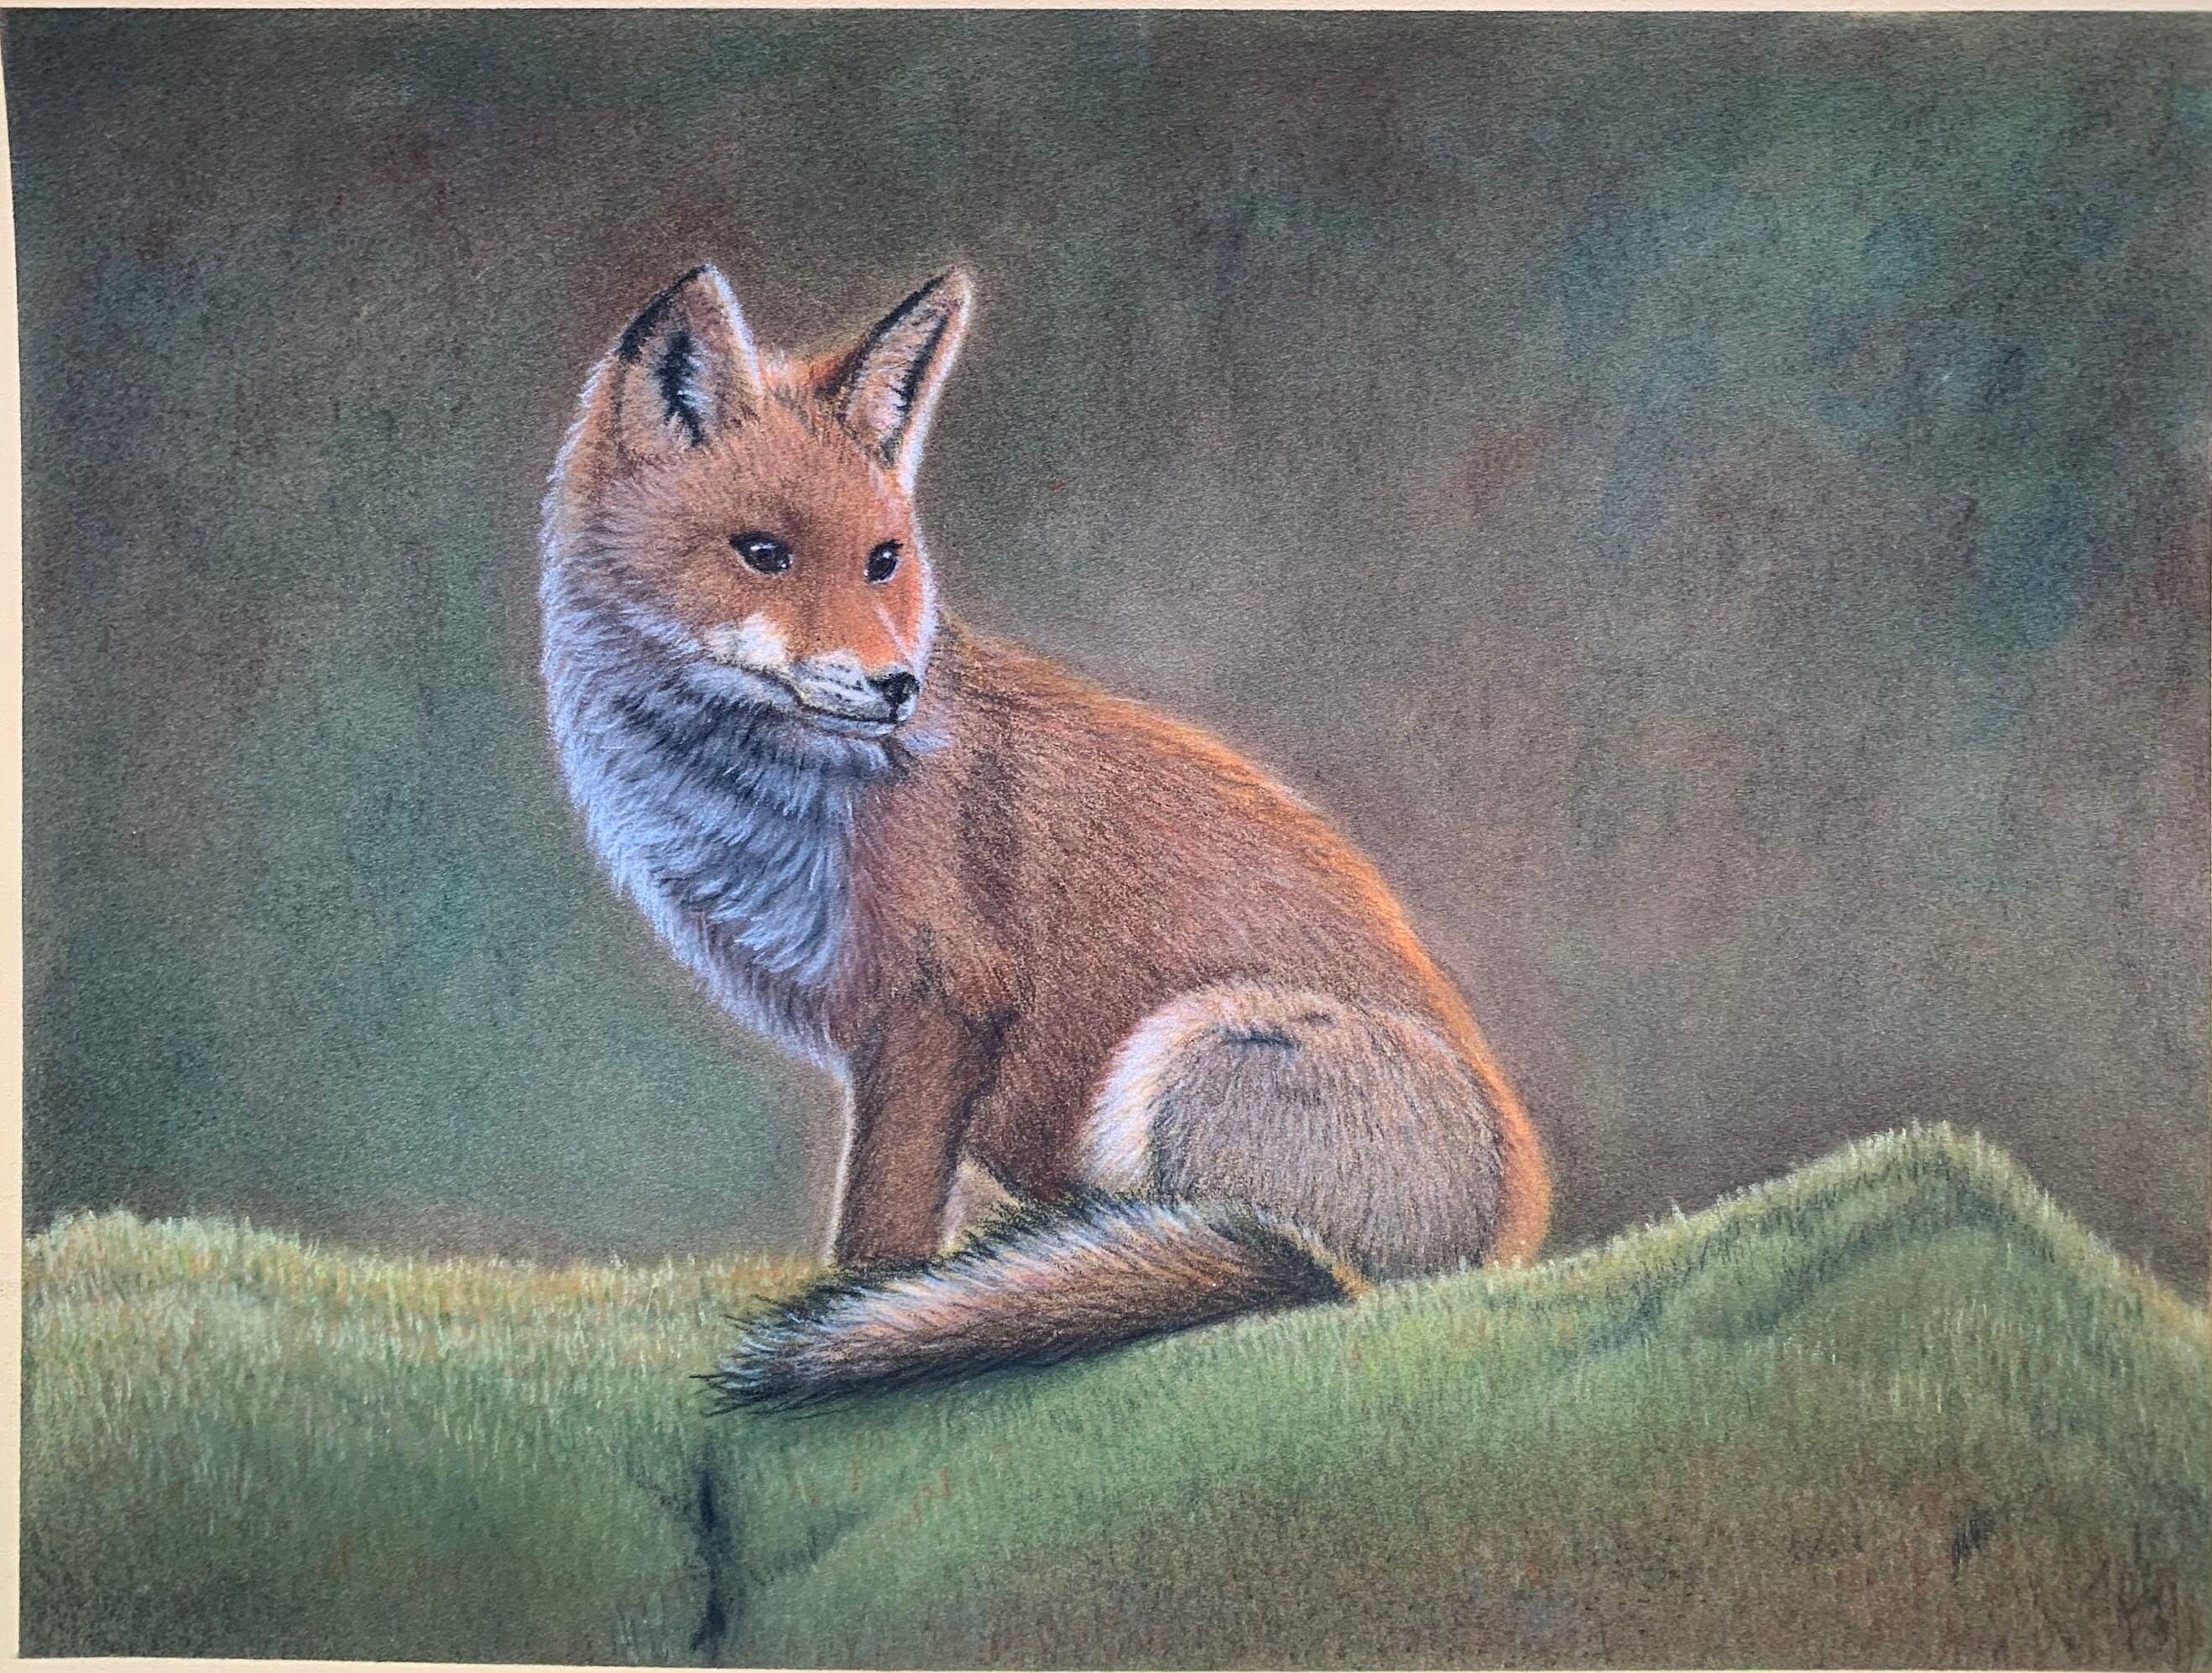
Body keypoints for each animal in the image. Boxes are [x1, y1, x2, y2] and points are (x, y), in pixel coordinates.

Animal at [540, 262, 1550, 1408]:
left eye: (883, 560)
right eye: (762, 554)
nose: (896, 686)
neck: (759, 802)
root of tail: (1499, 1233)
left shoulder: (945, 994)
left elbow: (883, 1221)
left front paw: (859, 1305)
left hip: (1191, 1048)